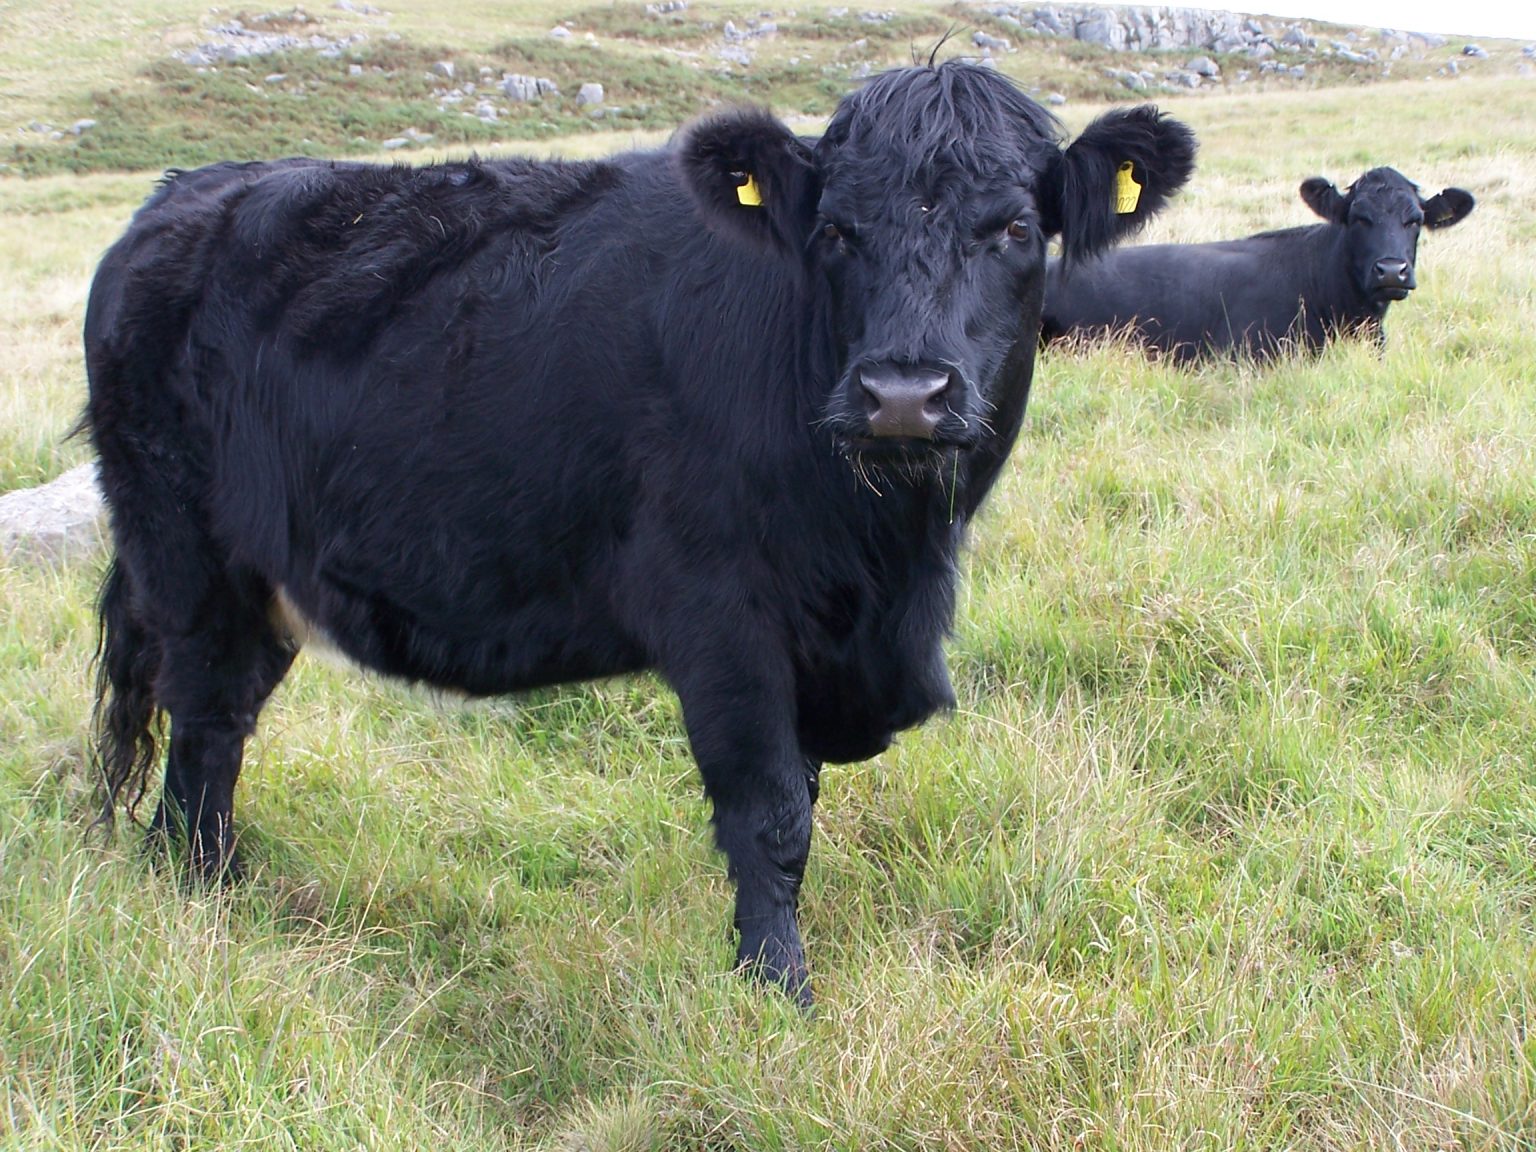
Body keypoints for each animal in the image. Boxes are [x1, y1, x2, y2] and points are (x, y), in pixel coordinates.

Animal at [82, 60, 1195, 1006]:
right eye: (836, 231)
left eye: (1013, 229)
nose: (903, 395)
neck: (892, 563)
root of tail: (184, 195)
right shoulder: (722, 620)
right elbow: (770, 816)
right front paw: (777, 995)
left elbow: (803, 806)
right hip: (185, 554)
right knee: (204, 719)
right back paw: (201, 894)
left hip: (259, 582)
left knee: (221, 722)